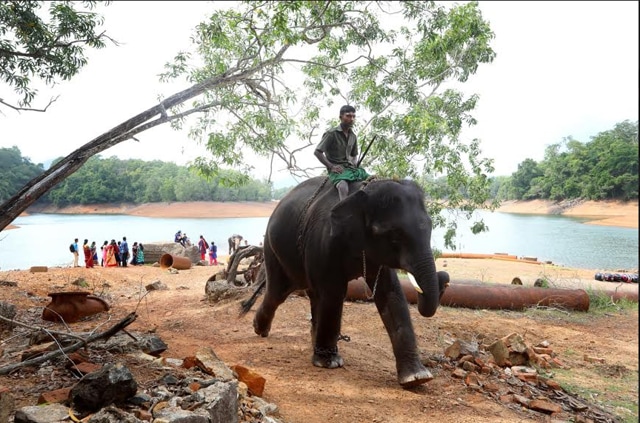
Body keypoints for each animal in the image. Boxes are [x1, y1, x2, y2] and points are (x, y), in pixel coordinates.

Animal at [240, 176, 449, 388]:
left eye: (430, 227)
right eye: (394, 235)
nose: (444, 279)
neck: (362, 192)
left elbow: (391, 294)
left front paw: (417, 378)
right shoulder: (324, 240)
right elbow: (334, 291)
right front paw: (330, 363)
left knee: (311, 294)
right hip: (273, 250)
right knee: (278, 292)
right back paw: (260, 330)